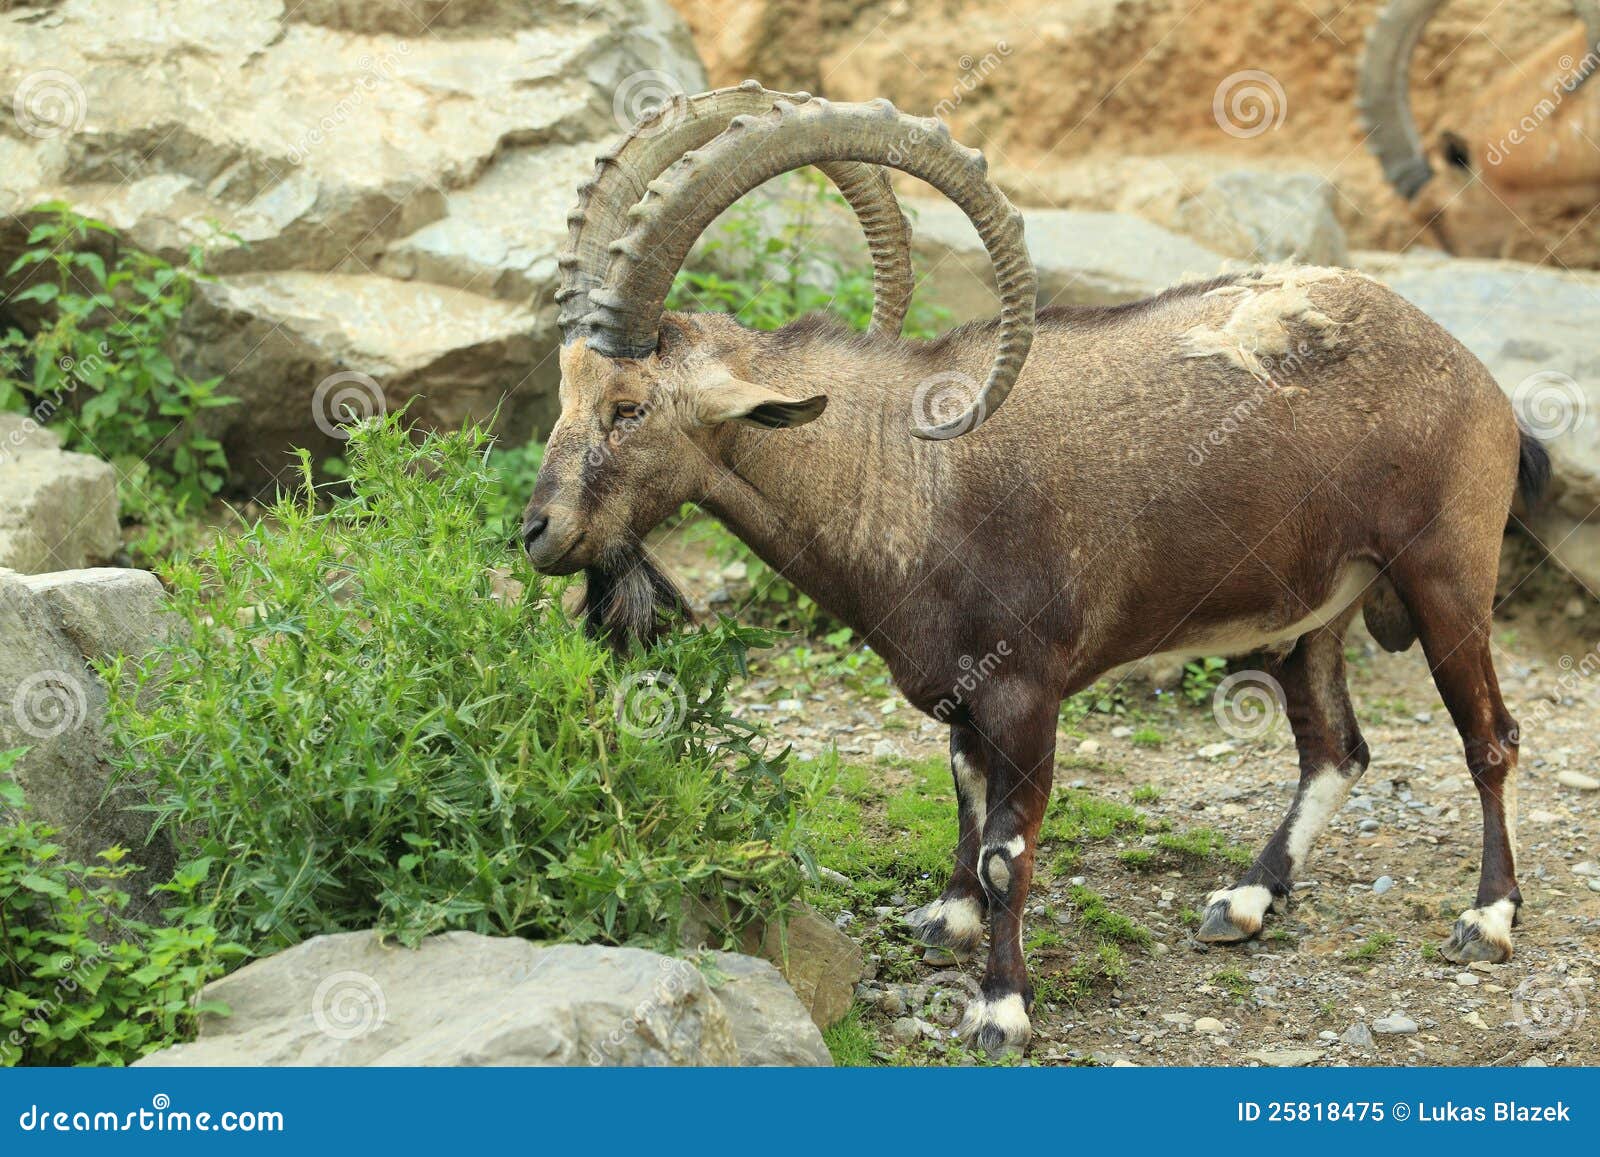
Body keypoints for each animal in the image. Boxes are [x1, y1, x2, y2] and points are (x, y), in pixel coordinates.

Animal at [521, 83, 1550, 1055]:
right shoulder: (959, 692)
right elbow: (964, 796)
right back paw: (1246, 901)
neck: (904, 466)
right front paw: (947, 921)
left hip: (1446, 573)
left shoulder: (1027, 688)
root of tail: (1478, 380)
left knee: (1490, 737)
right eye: (565, 387)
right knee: (1335, 746)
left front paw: (1001, 1008)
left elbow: (1008, 848)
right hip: (1311, 614)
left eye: (628, 407)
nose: (537, 531)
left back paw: (1487, 917)